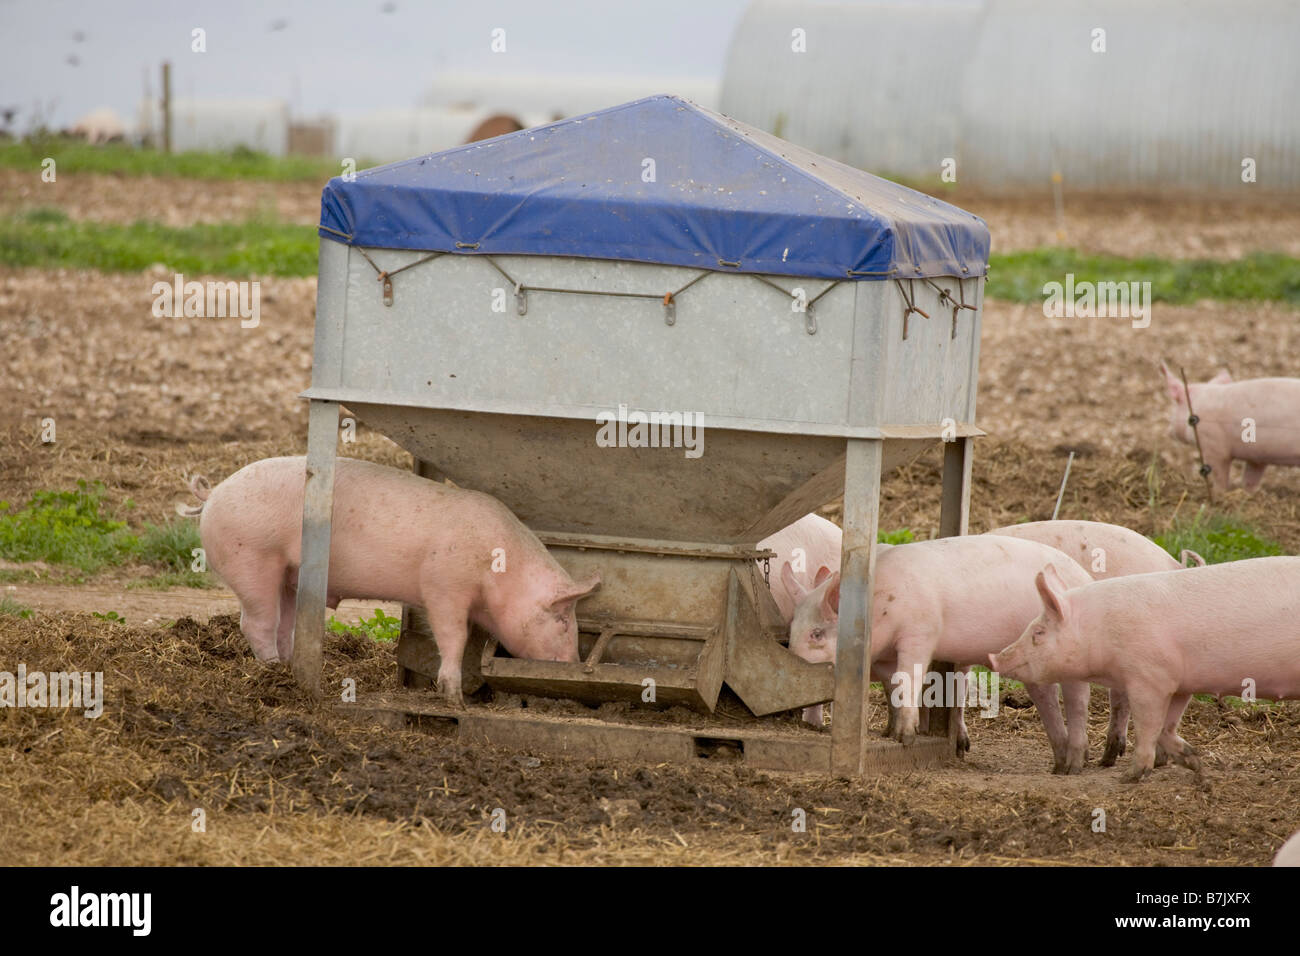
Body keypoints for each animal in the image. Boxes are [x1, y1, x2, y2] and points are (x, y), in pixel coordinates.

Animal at [180, 457, 600, 705]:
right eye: (564, 622)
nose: (573, 664)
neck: (499, 569)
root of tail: (214, 492)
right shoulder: (443, 587)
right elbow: (454, 636)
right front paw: (454, 698)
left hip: (286, 575)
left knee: (284, 625)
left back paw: (284, 666)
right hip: (254, 560)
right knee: (254, 623)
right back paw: (270, 669)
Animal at [789, 535, 1097, 773]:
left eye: (816, 633)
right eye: (791, 627)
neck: (879, 605)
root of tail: (1085, 576)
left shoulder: (920, 631)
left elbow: (908, 678)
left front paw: (906, 738)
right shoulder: (886, 656)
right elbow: (893, 686)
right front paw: (891, 732)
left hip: (1069, 650)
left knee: (1077, 698)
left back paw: (1073, 767)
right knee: (1046, 697)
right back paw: (1058, 765)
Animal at [990, 556, 1300, 783]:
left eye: (1038, 633)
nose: (995, 658)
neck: (1100, 630)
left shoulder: (1149, 678)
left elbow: (1147, 725)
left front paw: (1130, 776)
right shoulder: (1179, 683)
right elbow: (1166, 726)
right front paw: (1195, 762)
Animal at [1161, 362, 1300, 490]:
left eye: (1175, 406)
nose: (1168, 431)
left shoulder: (1214, 445)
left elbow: (1219, 475)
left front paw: (1219, 493)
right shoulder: (1257, 457)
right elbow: (1250, 478)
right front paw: (1247, 493)